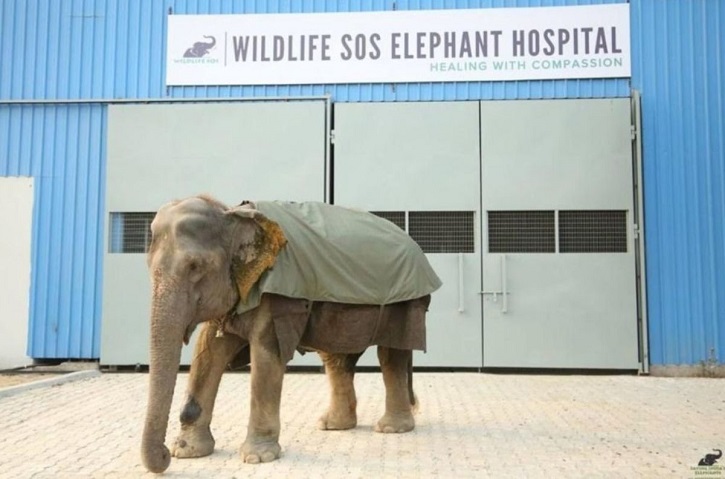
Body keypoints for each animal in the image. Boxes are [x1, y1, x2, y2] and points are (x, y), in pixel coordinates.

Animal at [140, 195, 442, 473]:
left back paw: (391, 429)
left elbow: (265, 355)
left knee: (391, 354)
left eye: (195, 267)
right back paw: (333, 426)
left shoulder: (276, 298)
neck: (233, 214)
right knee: (337, 358)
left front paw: (257, 458)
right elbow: (208, 352)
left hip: (405, 303)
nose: (164, 455)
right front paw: (186, 453)